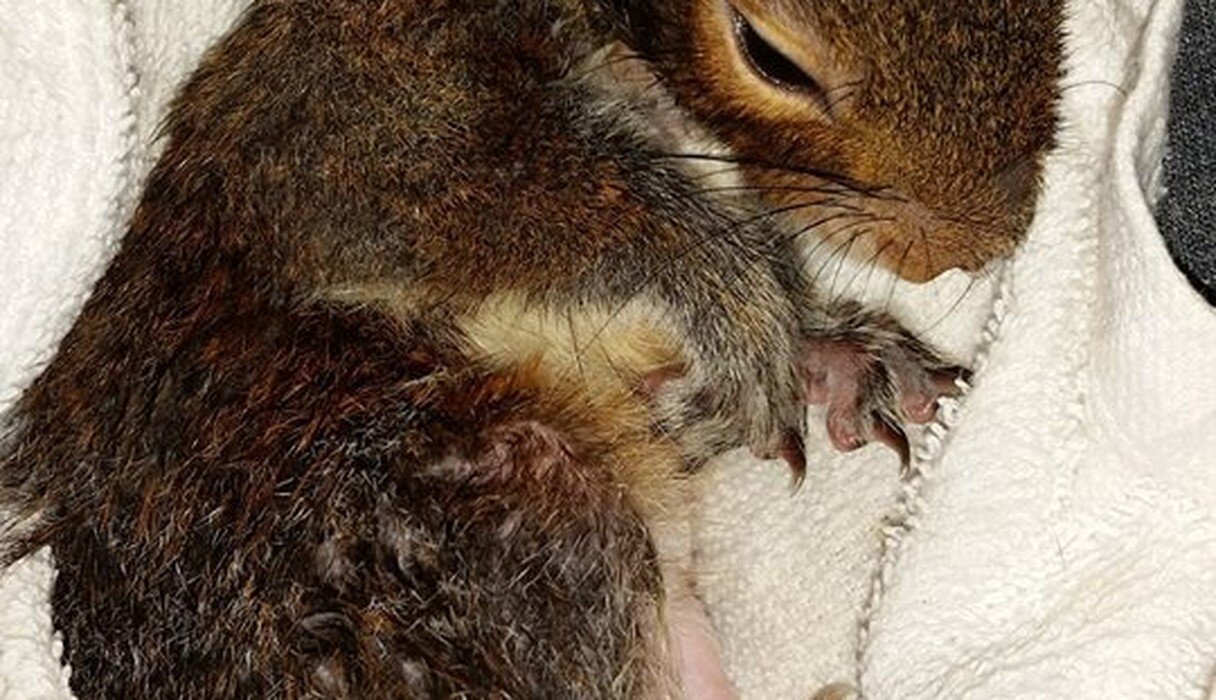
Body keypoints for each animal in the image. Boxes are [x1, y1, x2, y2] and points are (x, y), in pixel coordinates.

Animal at [0, 0, 1063, 697]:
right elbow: (505, 196)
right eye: (771, 56)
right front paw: (734, 295)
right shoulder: (330, 107)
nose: (978, 244)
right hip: (503, 502)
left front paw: (826, 342)